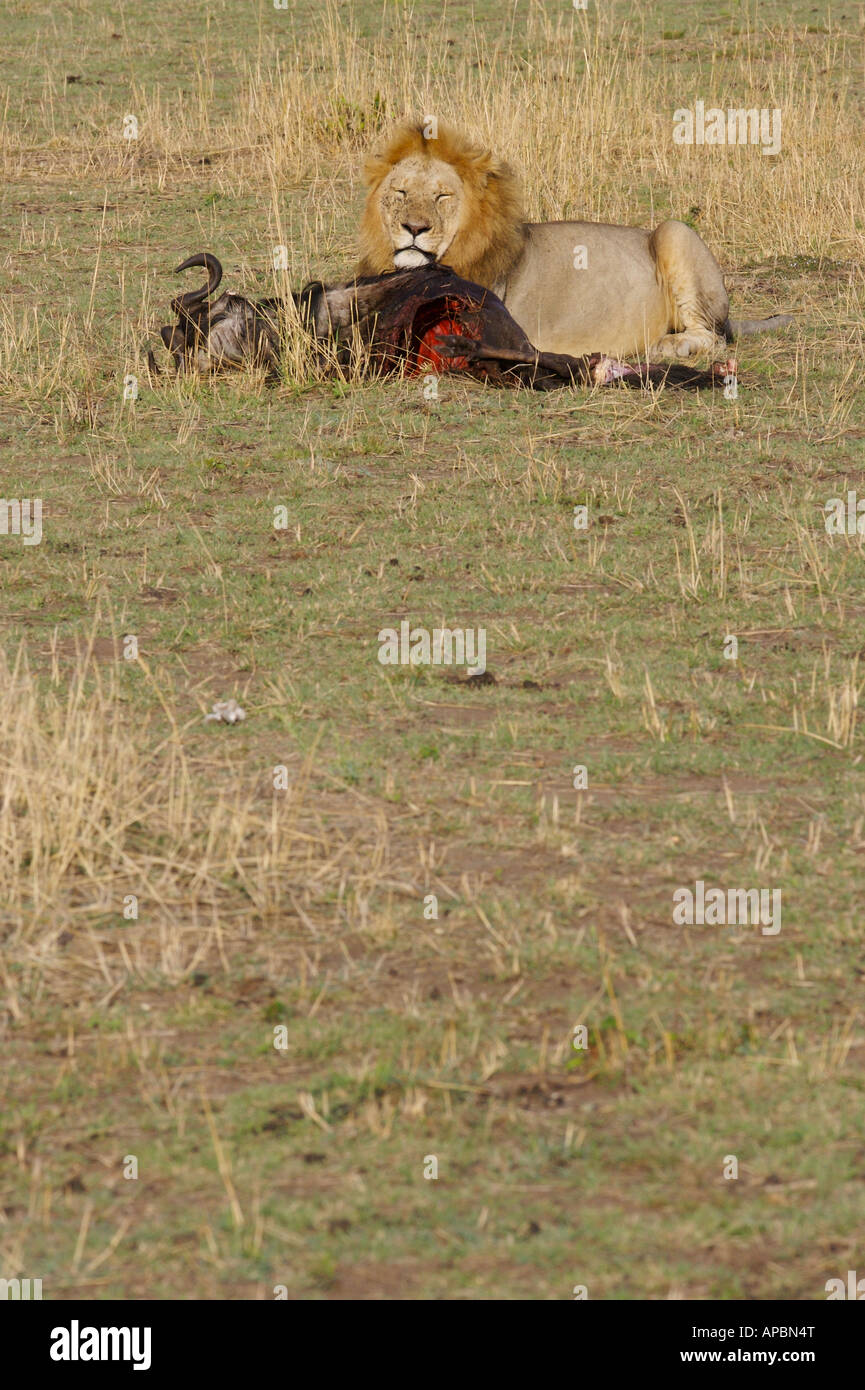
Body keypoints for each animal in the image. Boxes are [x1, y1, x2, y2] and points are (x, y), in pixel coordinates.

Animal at [357, 121, 791, 360]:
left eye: (442, 196)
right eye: (400, 192)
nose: (414, 228)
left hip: (674, 231)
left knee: (714, 338)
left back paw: (666, 346)